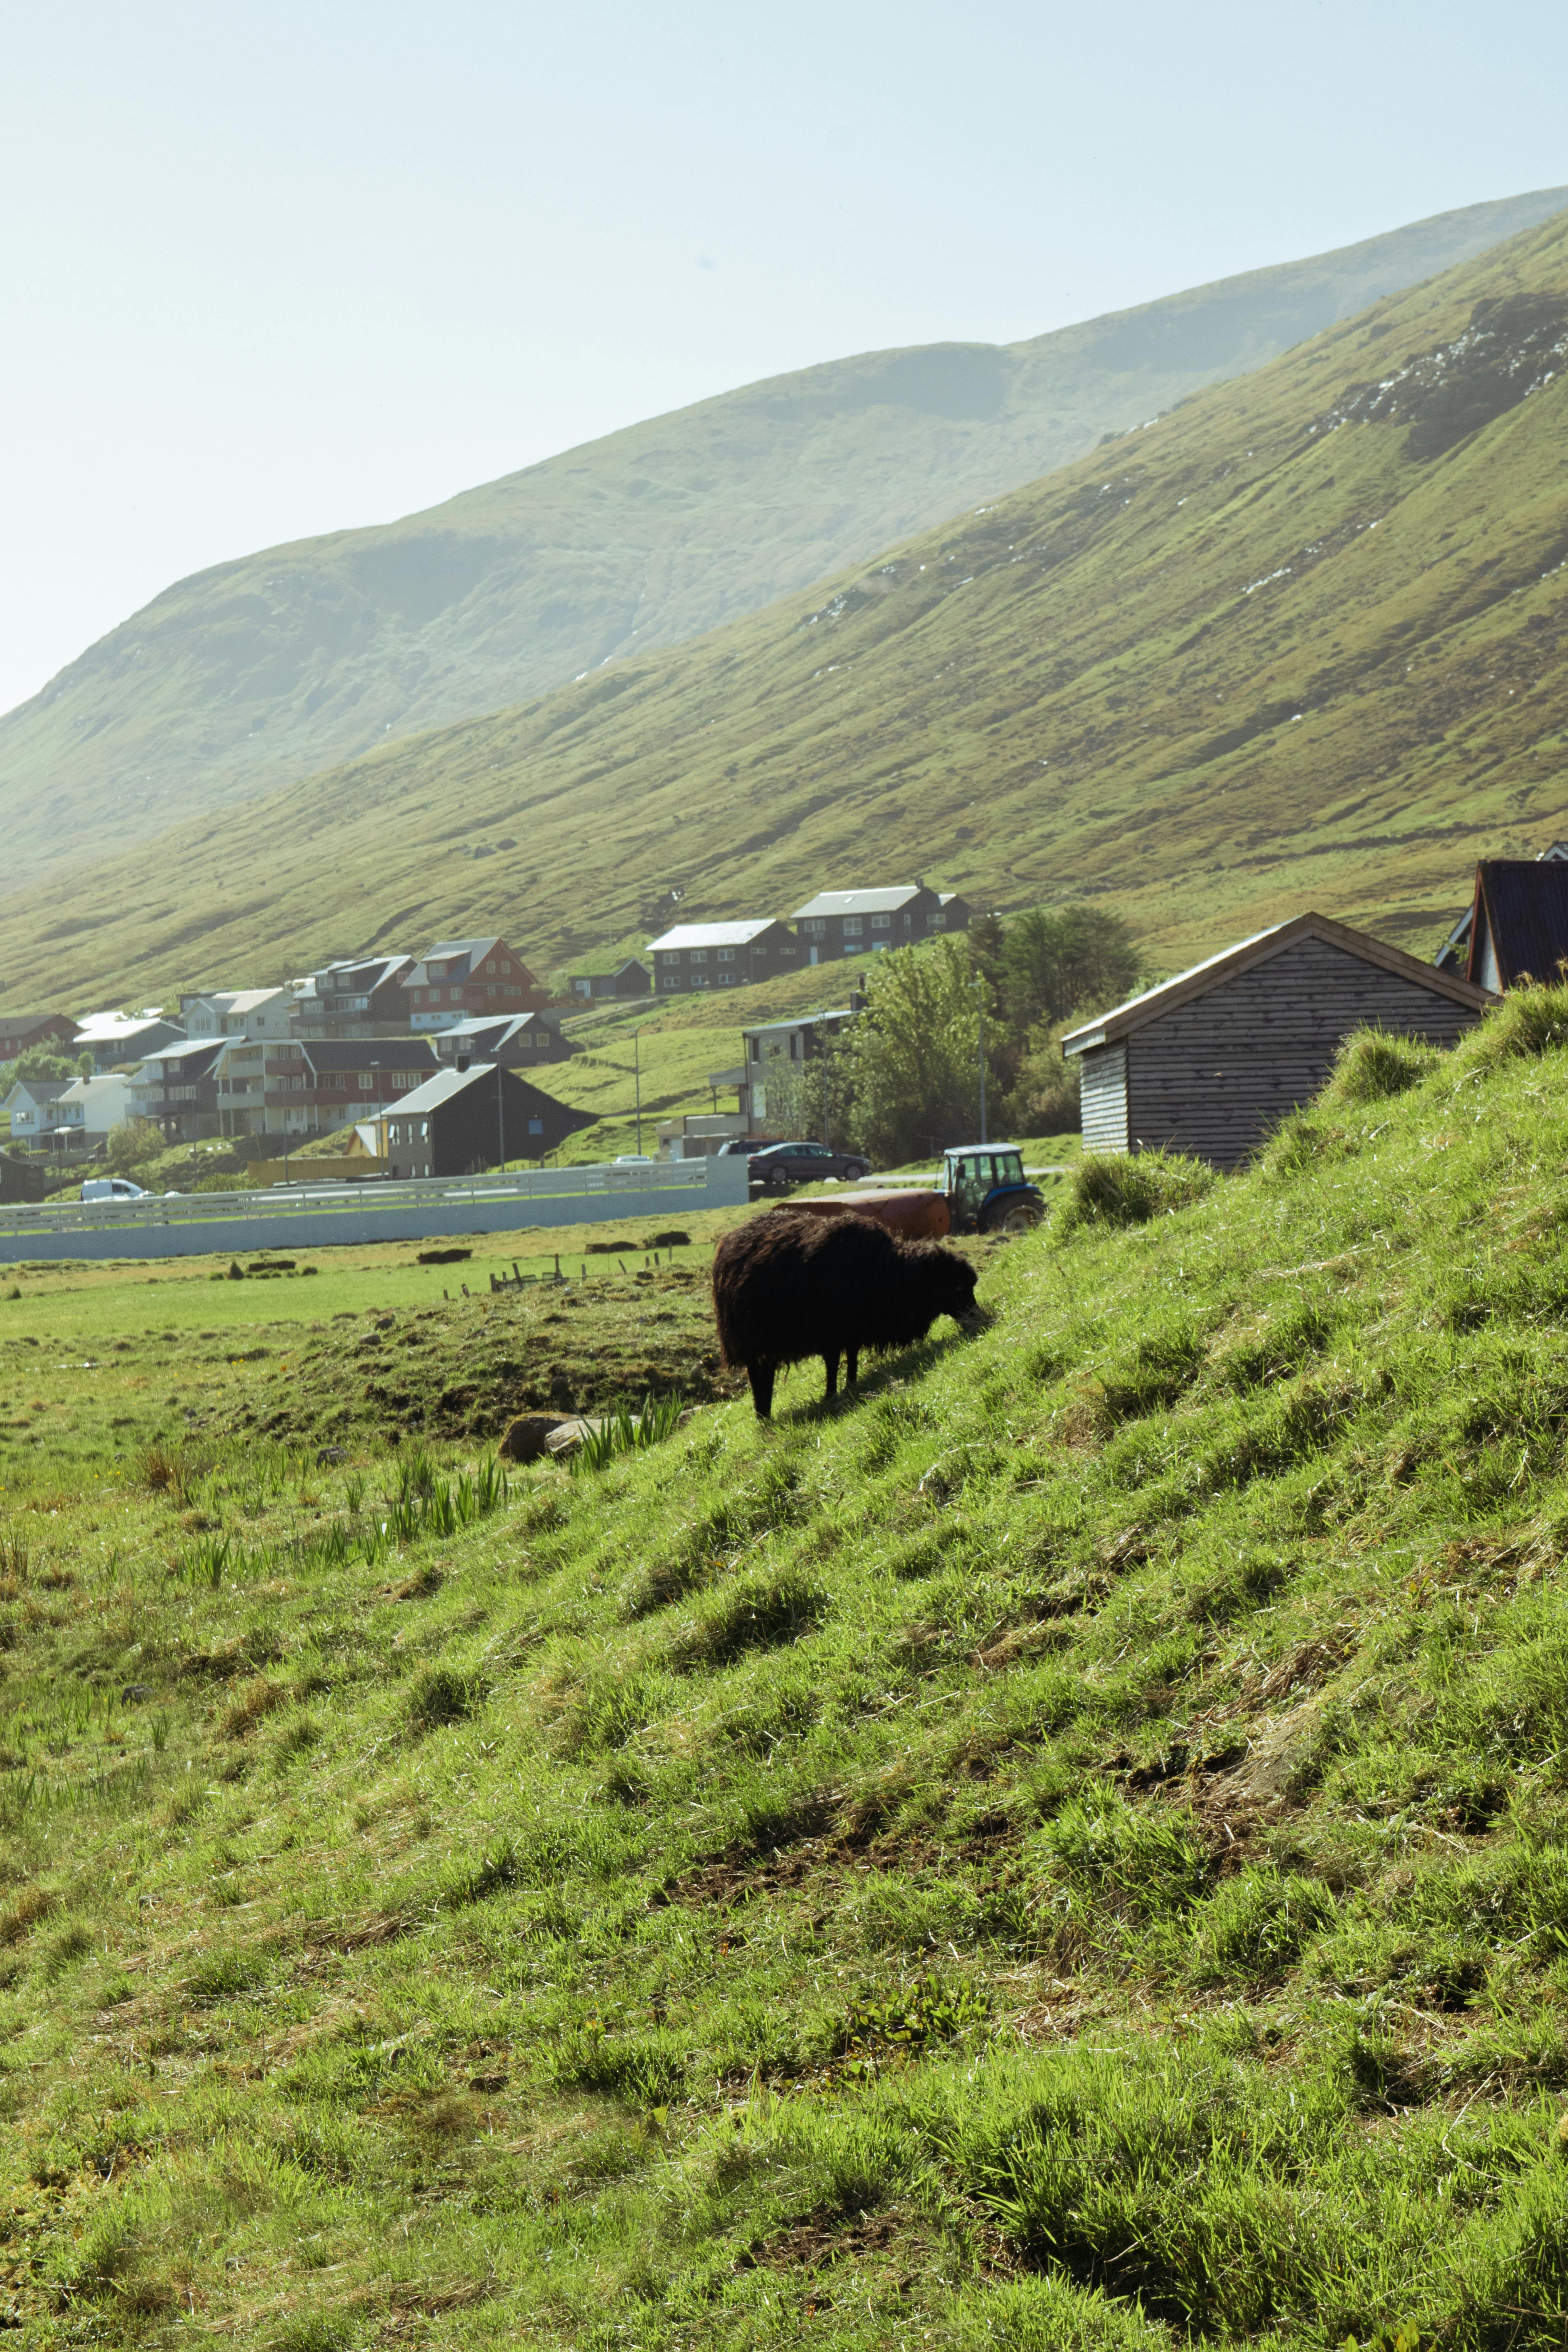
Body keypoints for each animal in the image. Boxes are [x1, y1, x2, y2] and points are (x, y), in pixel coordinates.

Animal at [712, 1207, 980, 1419]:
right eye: (957, 1287)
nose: (979, 1319)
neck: (887, 1274)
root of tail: (731, 1239)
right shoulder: (830, 1332)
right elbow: (833, 1365)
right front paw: (831, 1395)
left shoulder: (853, 1330)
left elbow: (852, 1357)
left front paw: (852, 1383)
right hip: (751, 1341)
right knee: (757, 1379)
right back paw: (762, 1416)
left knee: (765, 1376)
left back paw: (765, 1415)